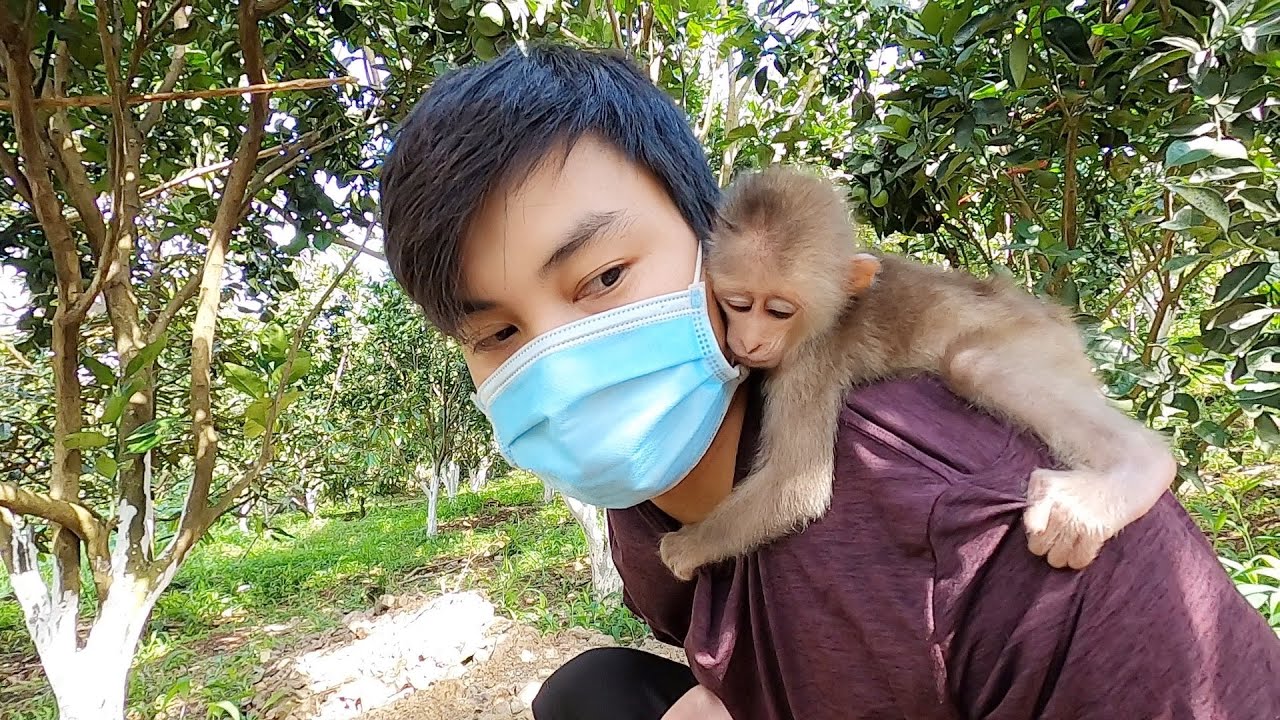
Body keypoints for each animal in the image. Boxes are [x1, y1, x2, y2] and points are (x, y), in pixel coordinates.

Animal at [657, 164, 1177, 581]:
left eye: (778, 311)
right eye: (737, 304)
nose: (749, 342)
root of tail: (1052, 317)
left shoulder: (812, 358)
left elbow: (794, 486)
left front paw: (684, 550)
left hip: (1034, 338)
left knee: (975, 364)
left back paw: (1139, 465)